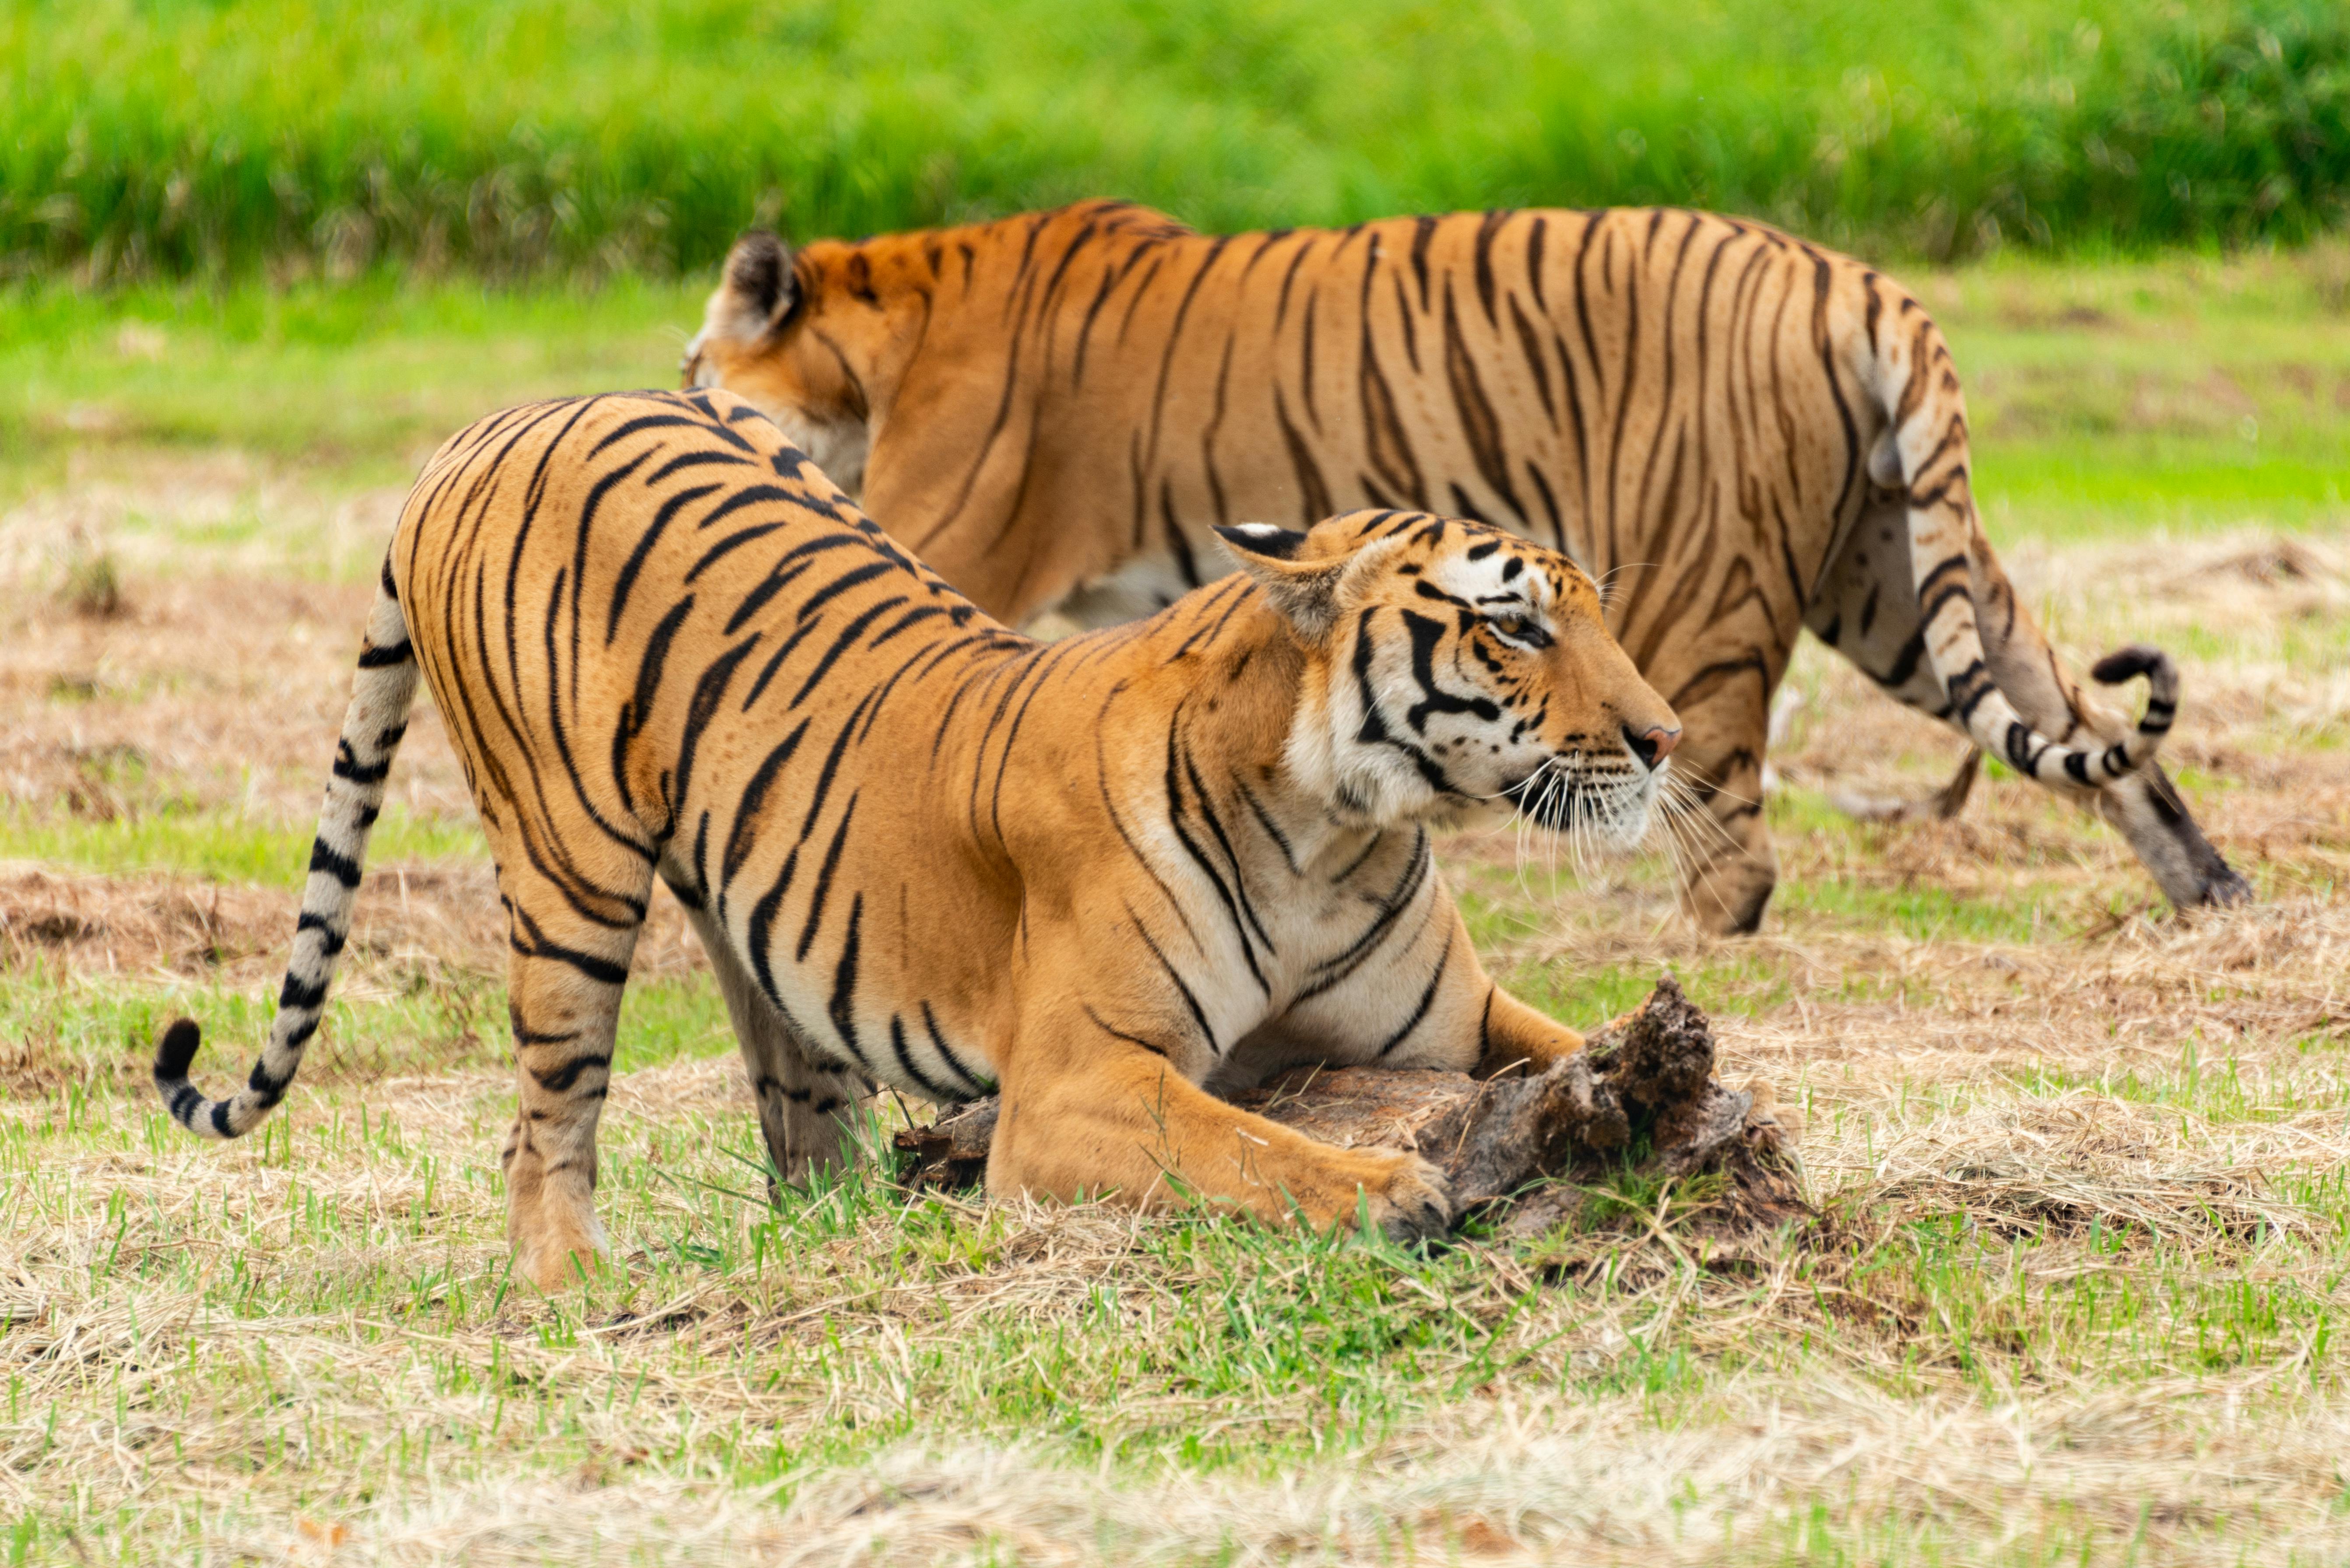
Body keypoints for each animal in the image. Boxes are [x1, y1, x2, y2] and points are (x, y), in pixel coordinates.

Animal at [680, 199, 2248, 934]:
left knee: (1724, 827)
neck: (879, 334)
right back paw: (2213, 896)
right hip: (1892, 581)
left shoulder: (951, 540)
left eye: (699, 361)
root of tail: (1855, 278)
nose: (684, 396)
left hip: (1711, 585)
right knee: (2091, 724)